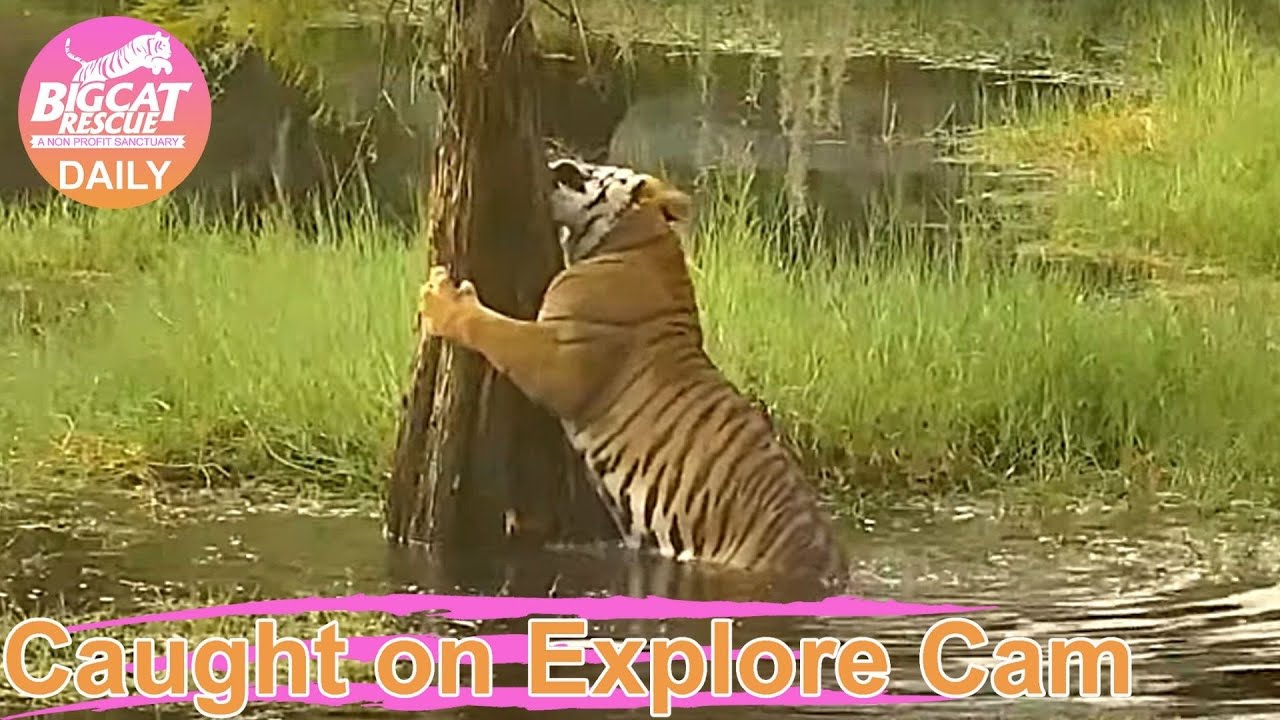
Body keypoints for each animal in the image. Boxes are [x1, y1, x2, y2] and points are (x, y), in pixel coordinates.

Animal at [416, 157, 847, 582]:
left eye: (593, 170)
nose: (559, 162)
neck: (637, 239)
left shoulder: (557, 355)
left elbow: (491, 328)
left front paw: (441, 296)